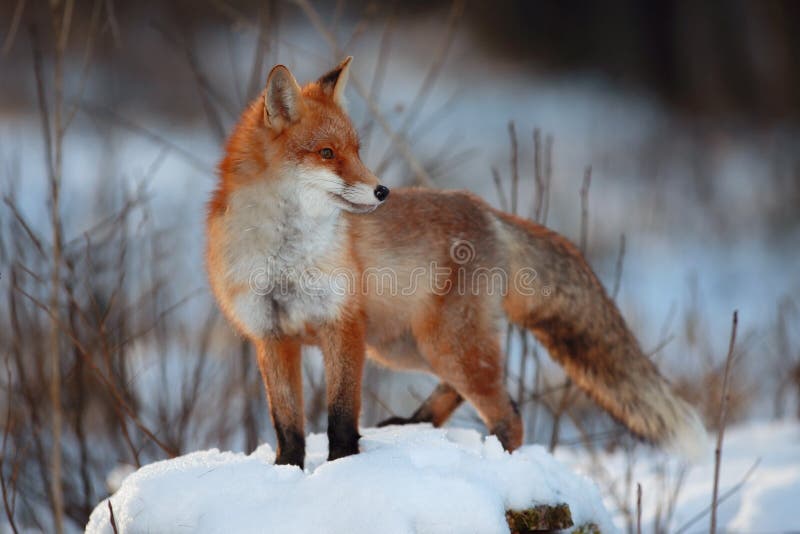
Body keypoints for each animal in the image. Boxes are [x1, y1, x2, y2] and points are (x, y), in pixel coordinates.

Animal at [206, 57, 706, 468]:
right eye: (327, 153)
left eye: (357, 150)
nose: (382, 191)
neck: (284, 257)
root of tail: (487, 210)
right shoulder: (272, 336)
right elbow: (287, 424)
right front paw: (286, 473)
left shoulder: (341, 326)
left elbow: (341, 419)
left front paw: (343, 468)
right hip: (407, 345)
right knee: (470, 393)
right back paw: (418, 421)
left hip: (438, 343)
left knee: (510, 414)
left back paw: (499, 461)